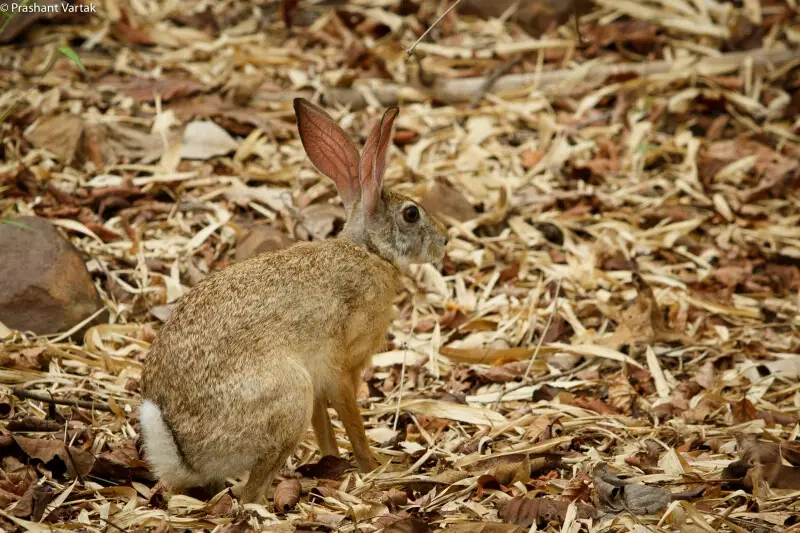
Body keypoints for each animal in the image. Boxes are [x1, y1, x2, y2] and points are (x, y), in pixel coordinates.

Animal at [139, 98, 448, 504]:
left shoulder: (320, 383)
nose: (444, 241)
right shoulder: (341, 369)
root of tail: (182, 450)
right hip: (289, 396)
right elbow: (351, 421)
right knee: (250, 494)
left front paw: (335, 460)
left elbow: (325, 427)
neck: (369, 251)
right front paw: (374, 467)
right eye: (411, 214)